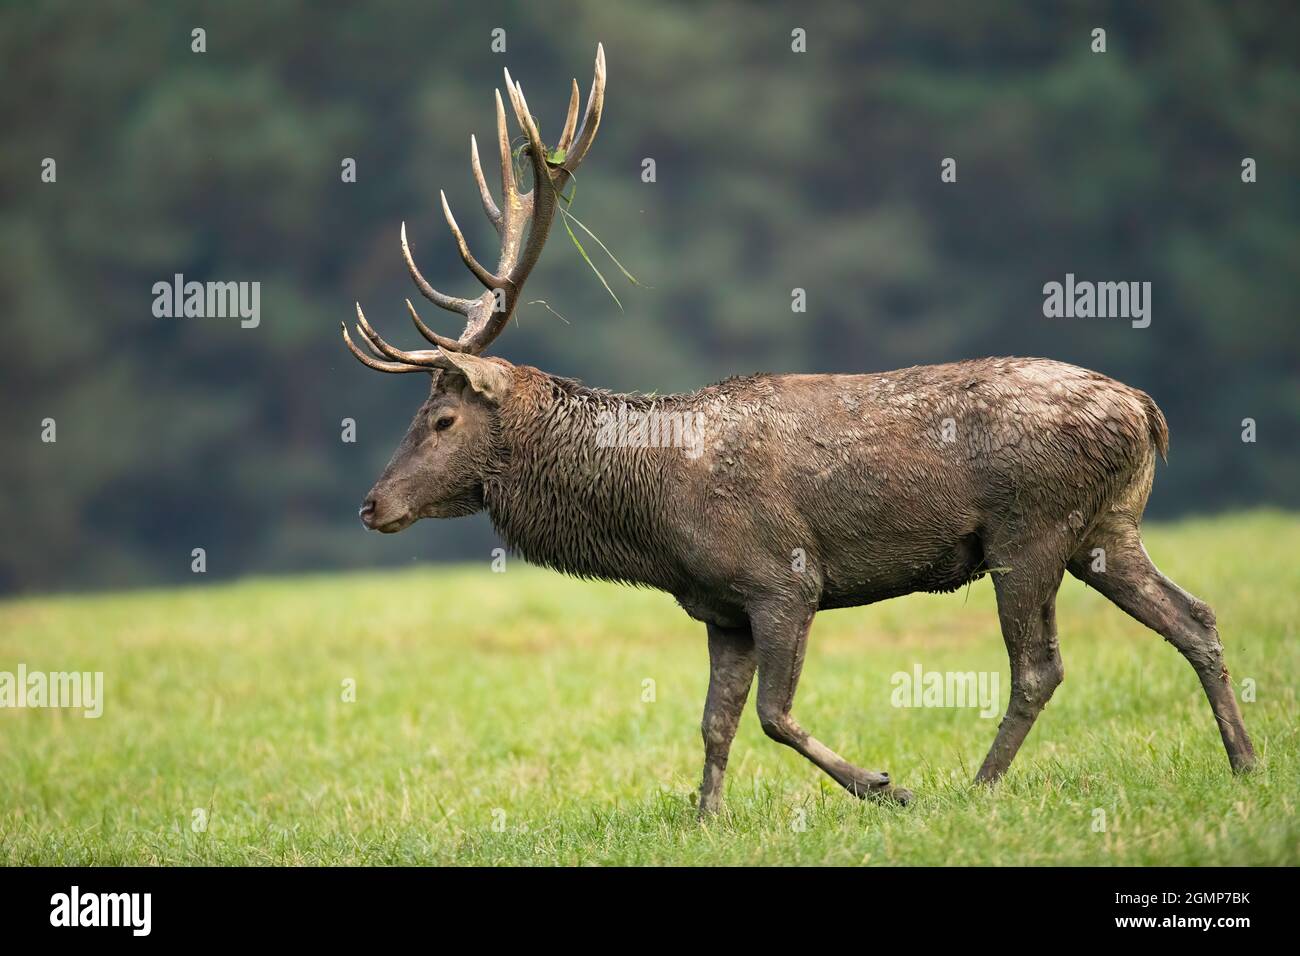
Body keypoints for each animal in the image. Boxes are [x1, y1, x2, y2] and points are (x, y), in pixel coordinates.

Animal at [341, 45, 1257, 816]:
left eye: (442, 417)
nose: (372, 505)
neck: (653, 524)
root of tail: (1146, 410)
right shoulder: (719, 609)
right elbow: (715, 722)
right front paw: (705, 819)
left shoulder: (783, 577)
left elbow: (775, 716)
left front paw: (884, 785)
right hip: (1106, 527)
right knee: (1195, 618)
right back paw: (1246, 761)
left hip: (1030, 528)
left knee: (1039, 665)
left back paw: (979, 786)